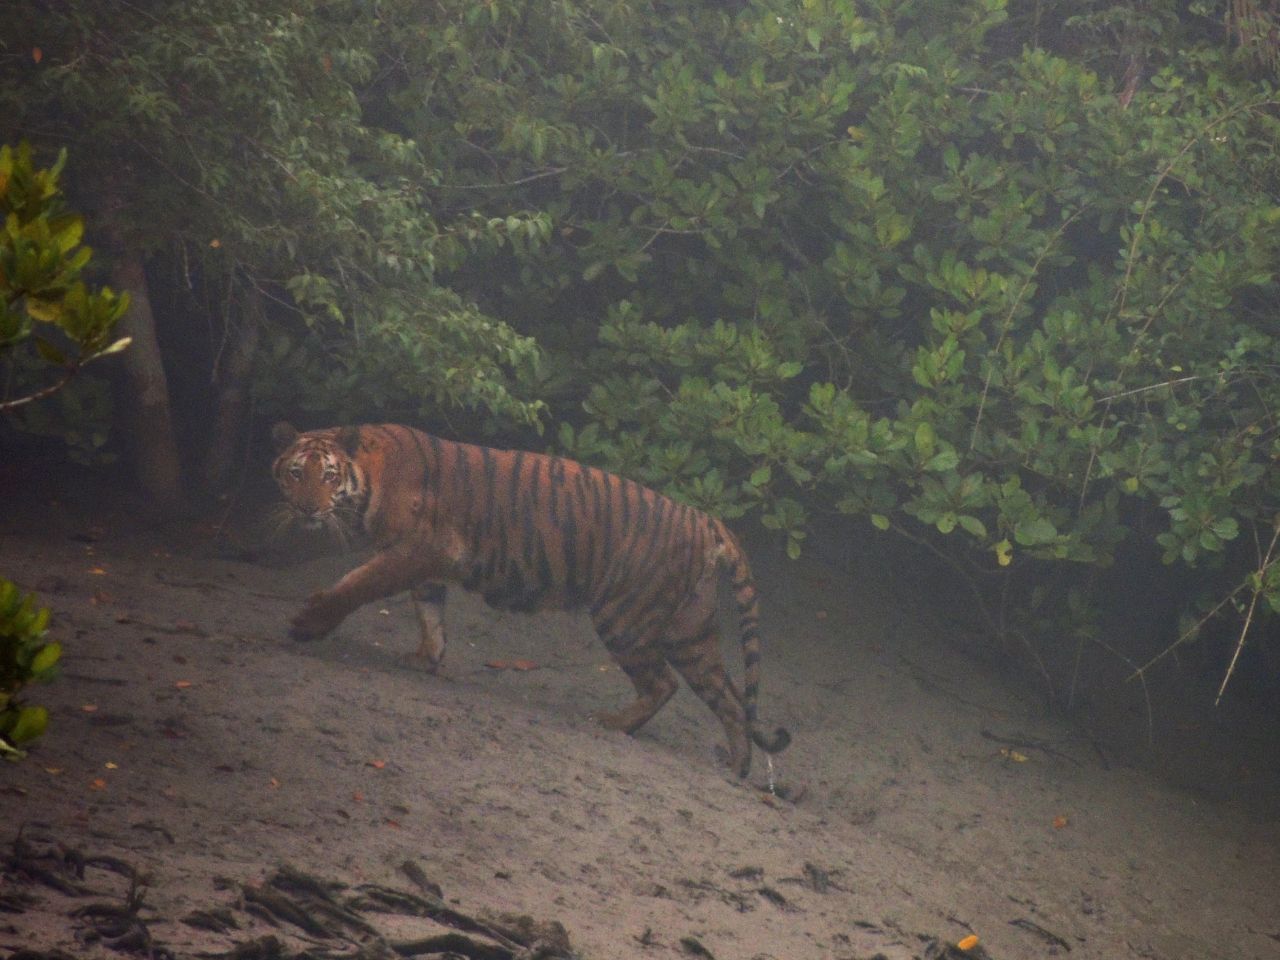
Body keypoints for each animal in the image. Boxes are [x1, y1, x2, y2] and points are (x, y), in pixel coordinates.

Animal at [271, 421, 790, 778]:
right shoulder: (426, 565)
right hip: (690, 635)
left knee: (663, 684)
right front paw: (425, 660)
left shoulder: (417, 550)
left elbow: (356, 584)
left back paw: (611, 723)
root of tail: (701, 517)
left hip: (625, 618)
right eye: (295, 473)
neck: (366, 479)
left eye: (327, 476)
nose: (306, 508)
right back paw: (736, 767)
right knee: (729, 700)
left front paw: (309, 623)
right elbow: (430, 615)